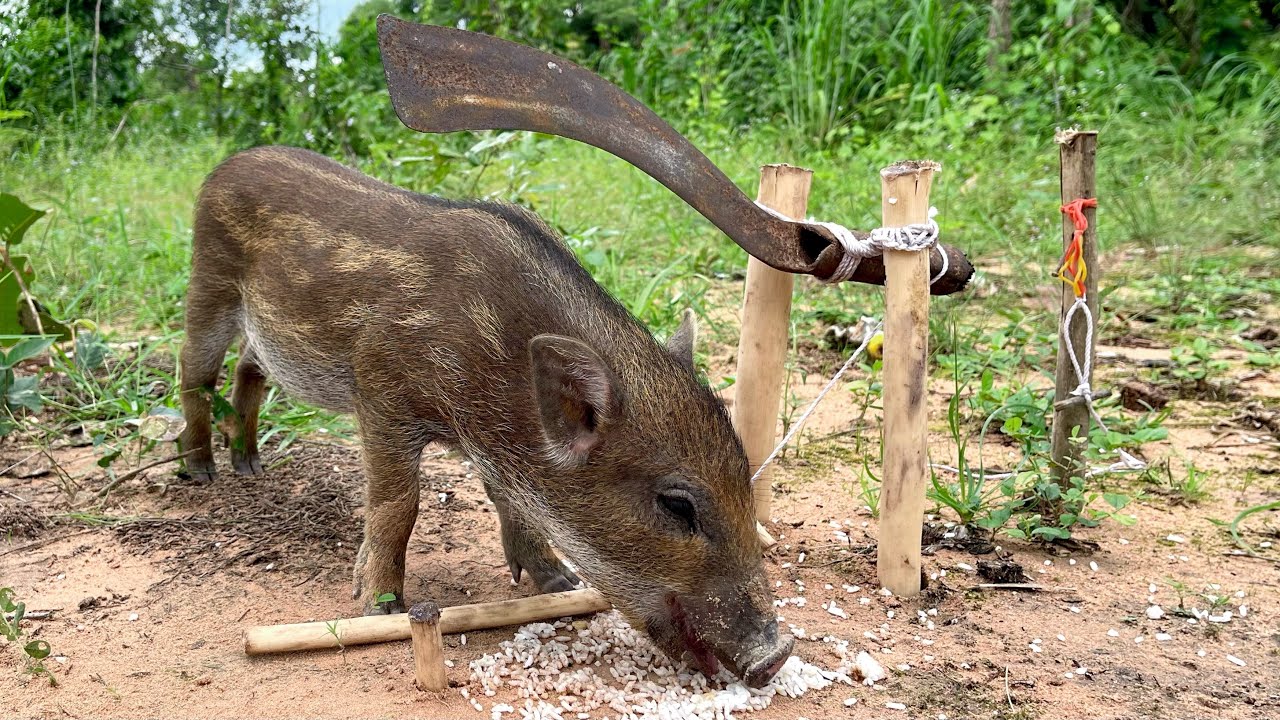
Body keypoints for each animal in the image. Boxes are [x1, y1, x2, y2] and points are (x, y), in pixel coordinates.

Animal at [178, 146, 792, 686]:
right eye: (676, 504)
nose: (778, 654)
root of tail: (226, 164)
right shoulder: (380, 392)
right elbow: (398, 505)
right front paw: (381, 607)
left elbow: (509, 500)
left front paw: (558, 581)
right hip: (209, 283)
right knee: (195, 373)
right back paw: (201, 472)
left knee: (248, 369)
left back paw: (250, 466)